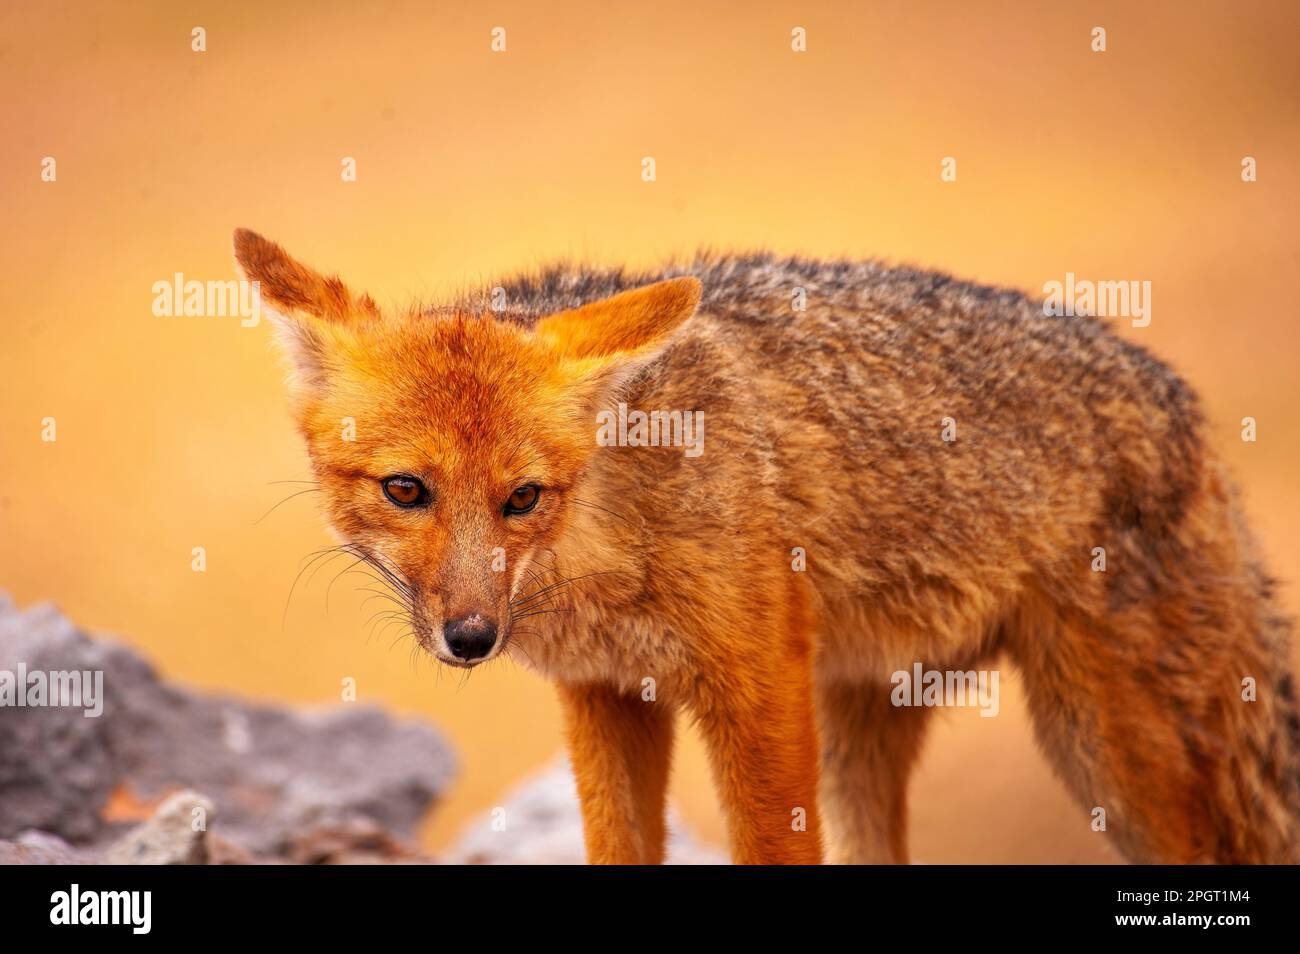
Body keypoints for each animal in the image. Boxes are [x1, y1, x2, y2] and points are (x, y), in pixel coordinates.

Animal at [234, 229, 1300, 865]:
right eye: (406, 491)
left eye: (522, 498)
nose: (470, 638)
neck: (608, 548)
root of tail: (1188, 409)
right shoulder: (607, 697)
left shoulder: (757, 692)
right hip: (871, 724)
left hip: (1107, 761)